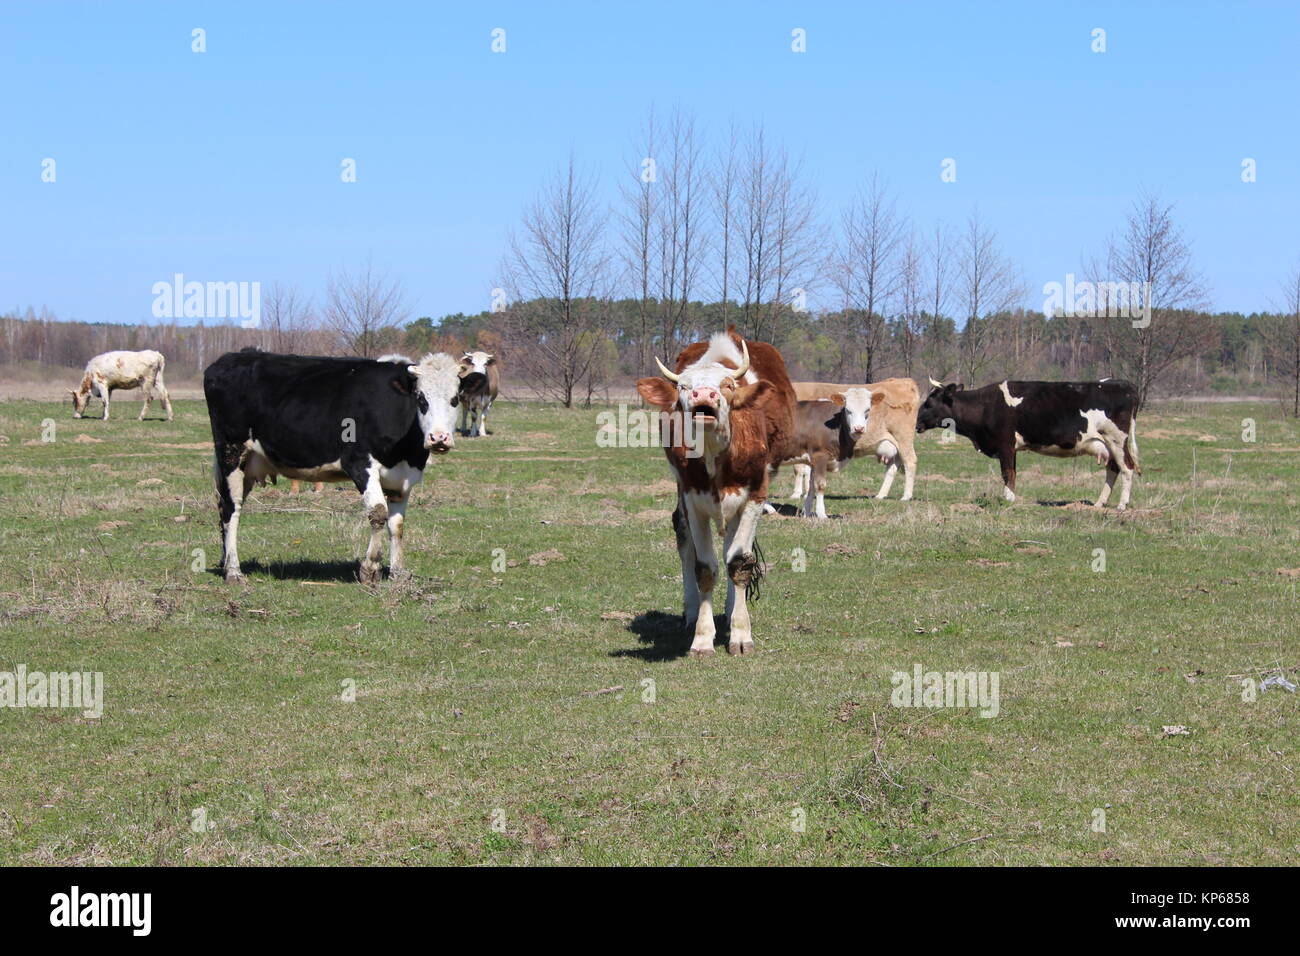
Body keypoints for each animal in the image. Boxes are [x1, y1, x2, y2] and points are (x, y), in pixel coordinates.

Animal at [203, 349, 461, 584]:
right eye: (421, 399)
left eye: (455, 399)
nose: (439, 438)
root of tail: (232, 357)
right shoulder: (359, 463)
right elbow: (378, 512)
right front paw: (370, 569)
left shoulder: (403, 478)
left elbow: (396, 524)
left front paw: (398, 572)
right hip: (231, 452)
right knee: (231, 508)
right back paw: (233, 572)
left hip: (249, 464)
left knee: (224, 507)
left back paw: (225, 561)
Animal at [636, 329, 796, 657]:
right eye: (683, 386)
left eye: (728, 385)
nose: (703, 395)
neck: (714, 454)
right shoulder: (692, 497)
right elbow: (705, 567)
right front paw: (702, 637)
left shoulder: (755, 496)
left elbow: (739, 561)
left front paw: (741, 633)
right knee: (684, 536)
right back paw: (692, 612)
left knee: (733, 551)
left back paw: (733, 607)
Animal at [786, 378, 920, 504]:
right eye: (848, 410)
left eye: (868, 410)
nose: (858, 428)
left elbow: (799, 469)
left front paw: (796, 494)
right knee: (892, 467)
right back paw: (881, 495)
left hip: (903, 439)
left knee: (910, 462)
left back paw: (906, 496)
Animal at [916, 378, 1141, 510]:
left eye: (928, 403)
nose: (916, 423)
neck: (984, 406)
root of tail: (1123, 383)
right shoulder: (1011, 448)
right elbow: (1013, 472)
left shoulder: (1005, 444)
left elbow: (1007, 473)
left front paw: (1008, 499)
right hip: (1109, 444)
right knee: (1114, 468)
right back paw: (1099, 503)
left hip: (1116, 439)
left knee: (1127, 468)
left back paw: (1122, 505)